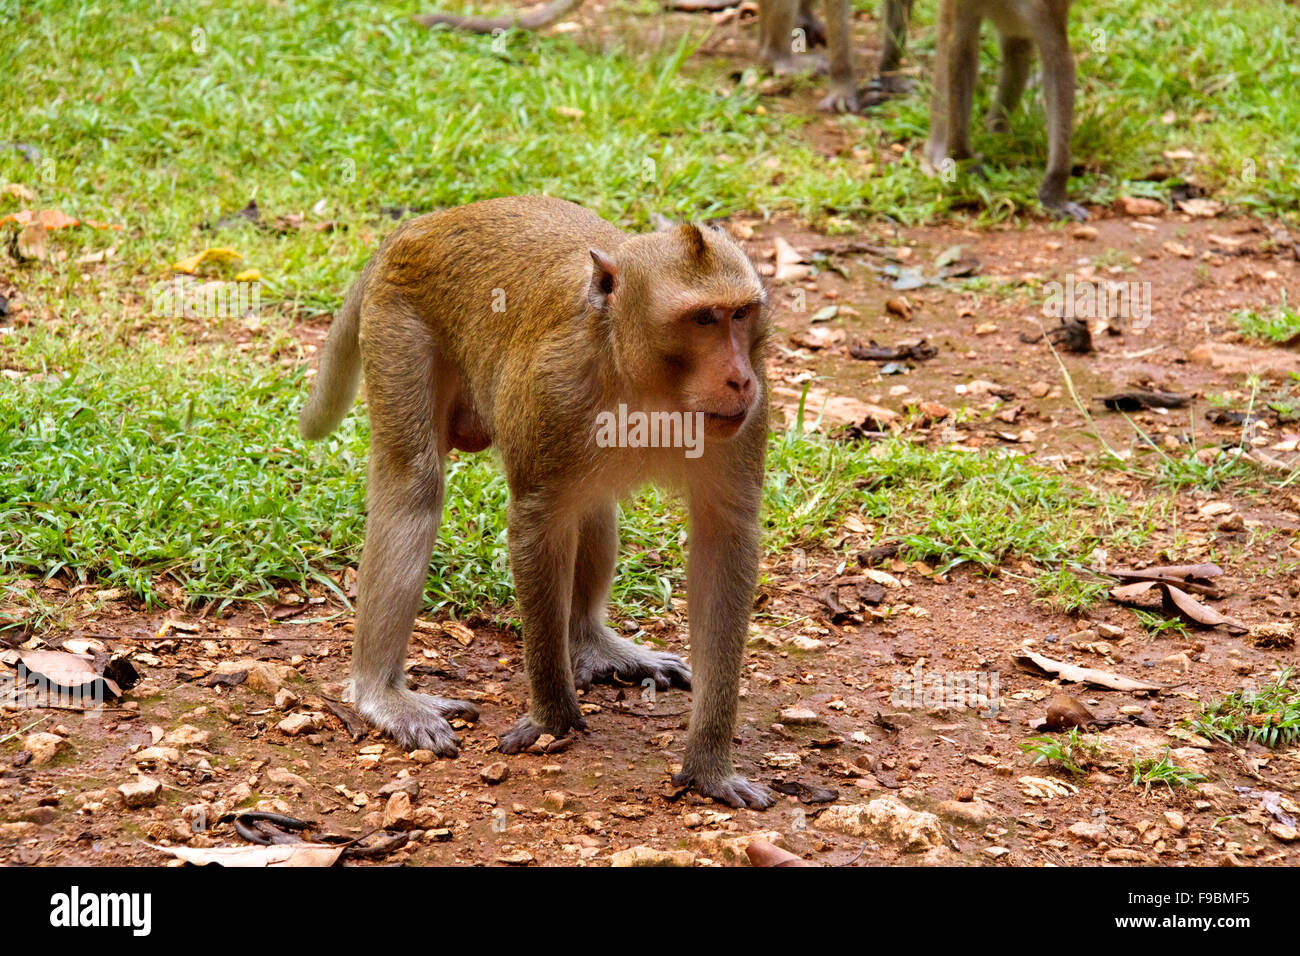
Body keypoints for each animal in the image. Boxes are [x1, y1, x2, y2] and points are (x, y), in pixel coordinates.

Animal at [298, 196, 774, 810]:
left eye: (740, 315)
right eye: (703, 320)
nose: (739, 379)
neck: (642, 380)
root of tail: (426, 223)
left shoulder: (748, 417)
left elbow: (724, 541)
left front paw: (709, 765)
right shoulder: (555, 390)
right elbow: (538, 523)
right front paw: (554, 717)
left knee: (590, 503)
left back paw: (592, 642)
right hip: (396, 324)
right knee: (412, 488)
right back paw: (382, 693)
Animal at [925, 0, 1087, 220]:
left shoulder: (1045, 9)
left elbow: (1057, 61)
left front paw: (1054, 193)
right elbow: (960, 46)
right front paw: (963, 160)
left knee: (1017, 47)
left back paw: (996, 129)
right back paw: (939, 148)